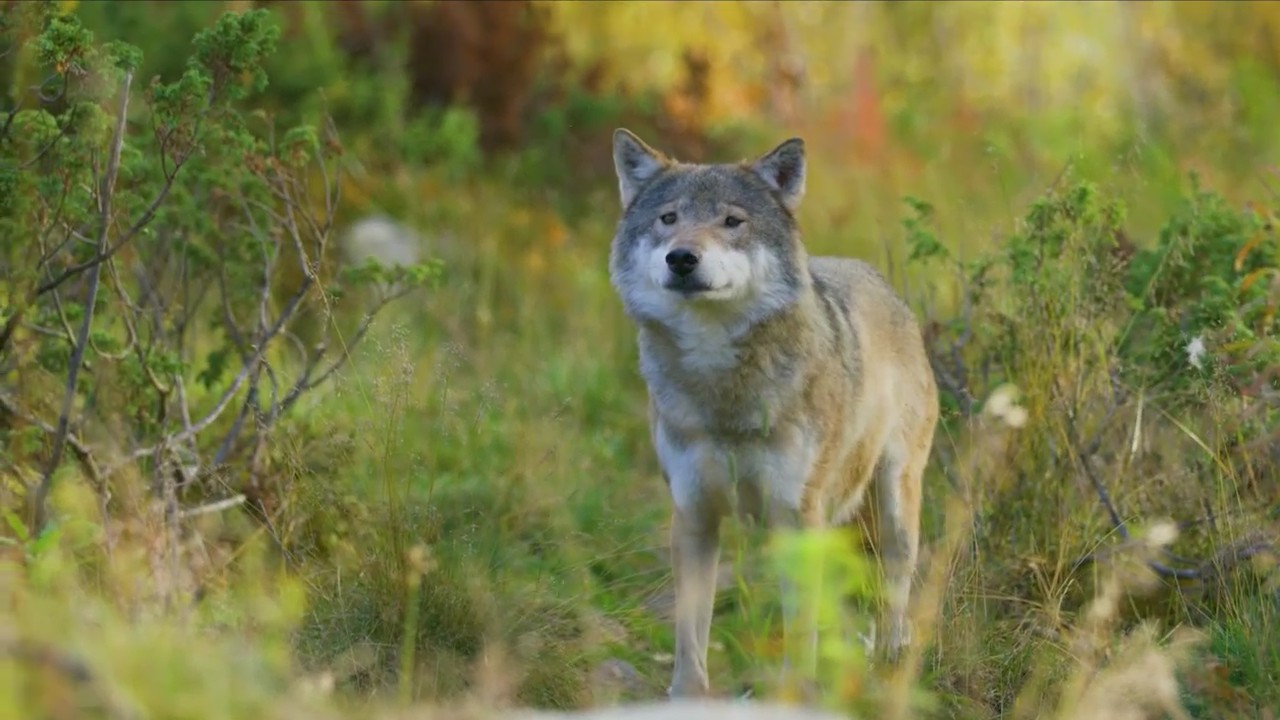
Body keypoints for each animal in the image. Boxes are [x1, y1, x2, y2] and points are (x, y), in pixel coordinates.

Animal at [607, 128, 939, 698]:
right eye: (669, 218)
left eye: (731, 221)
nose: (682, 257)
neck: (721, 388)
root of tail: (876, 277)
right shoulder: (693, 516)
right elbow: (691, 636)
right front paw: (687, 696)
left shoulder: (798, 520)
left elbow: (800, 633)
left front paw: (796, 694)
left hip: (893, 504)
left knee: (893, 589)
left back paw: (889, 663)